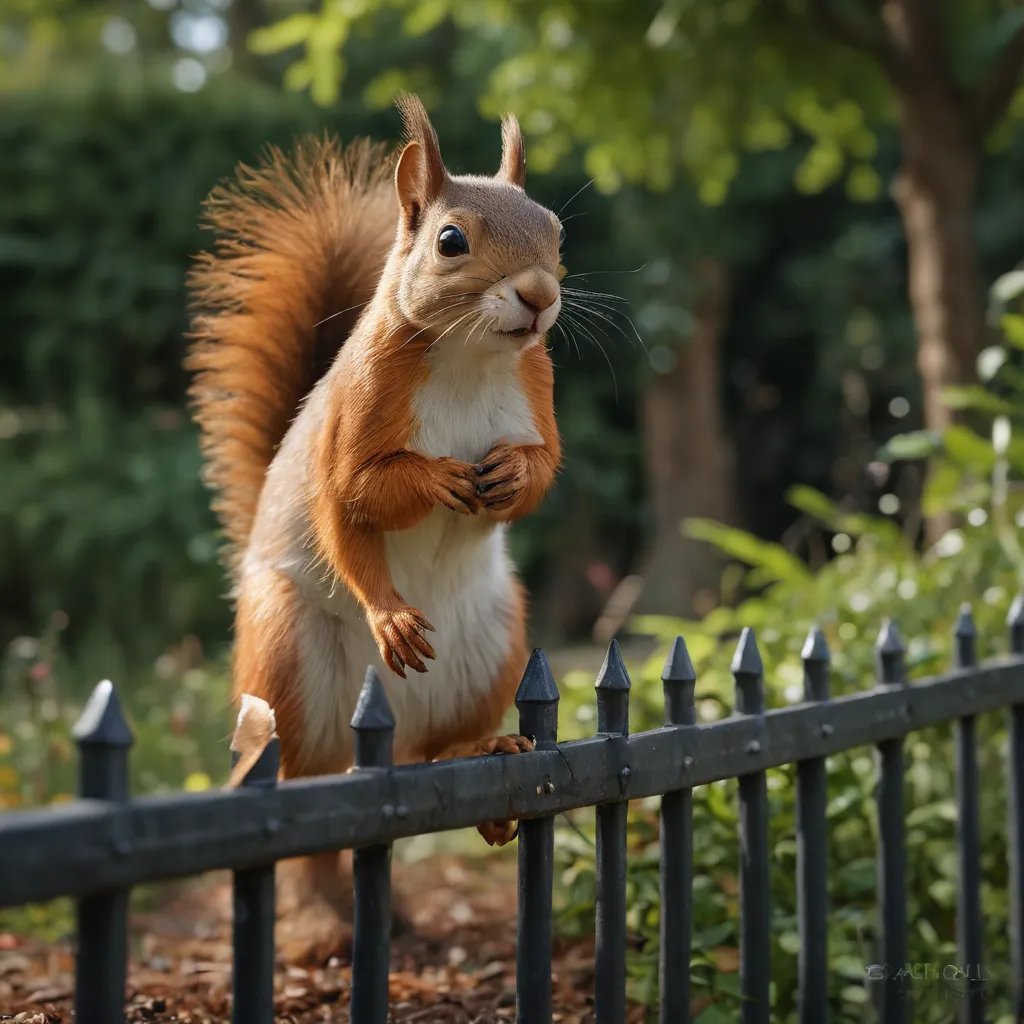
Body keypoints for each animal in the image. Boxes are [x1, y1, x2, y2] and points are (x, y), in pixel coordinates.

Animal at [186, 94, 563, 852]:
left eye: (558, 233)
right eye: (451, 241)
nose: (541, 295)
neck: (469, 358)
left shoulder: (537, 390)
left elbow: (544, 467)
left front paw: (512, 472)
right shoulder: (352, 421)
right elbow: (349, 505)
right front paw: (423, 508)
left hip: (494, 644)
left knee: (432, 751)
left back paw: (481, 750)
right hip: (287, 651)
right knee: (298, 763)